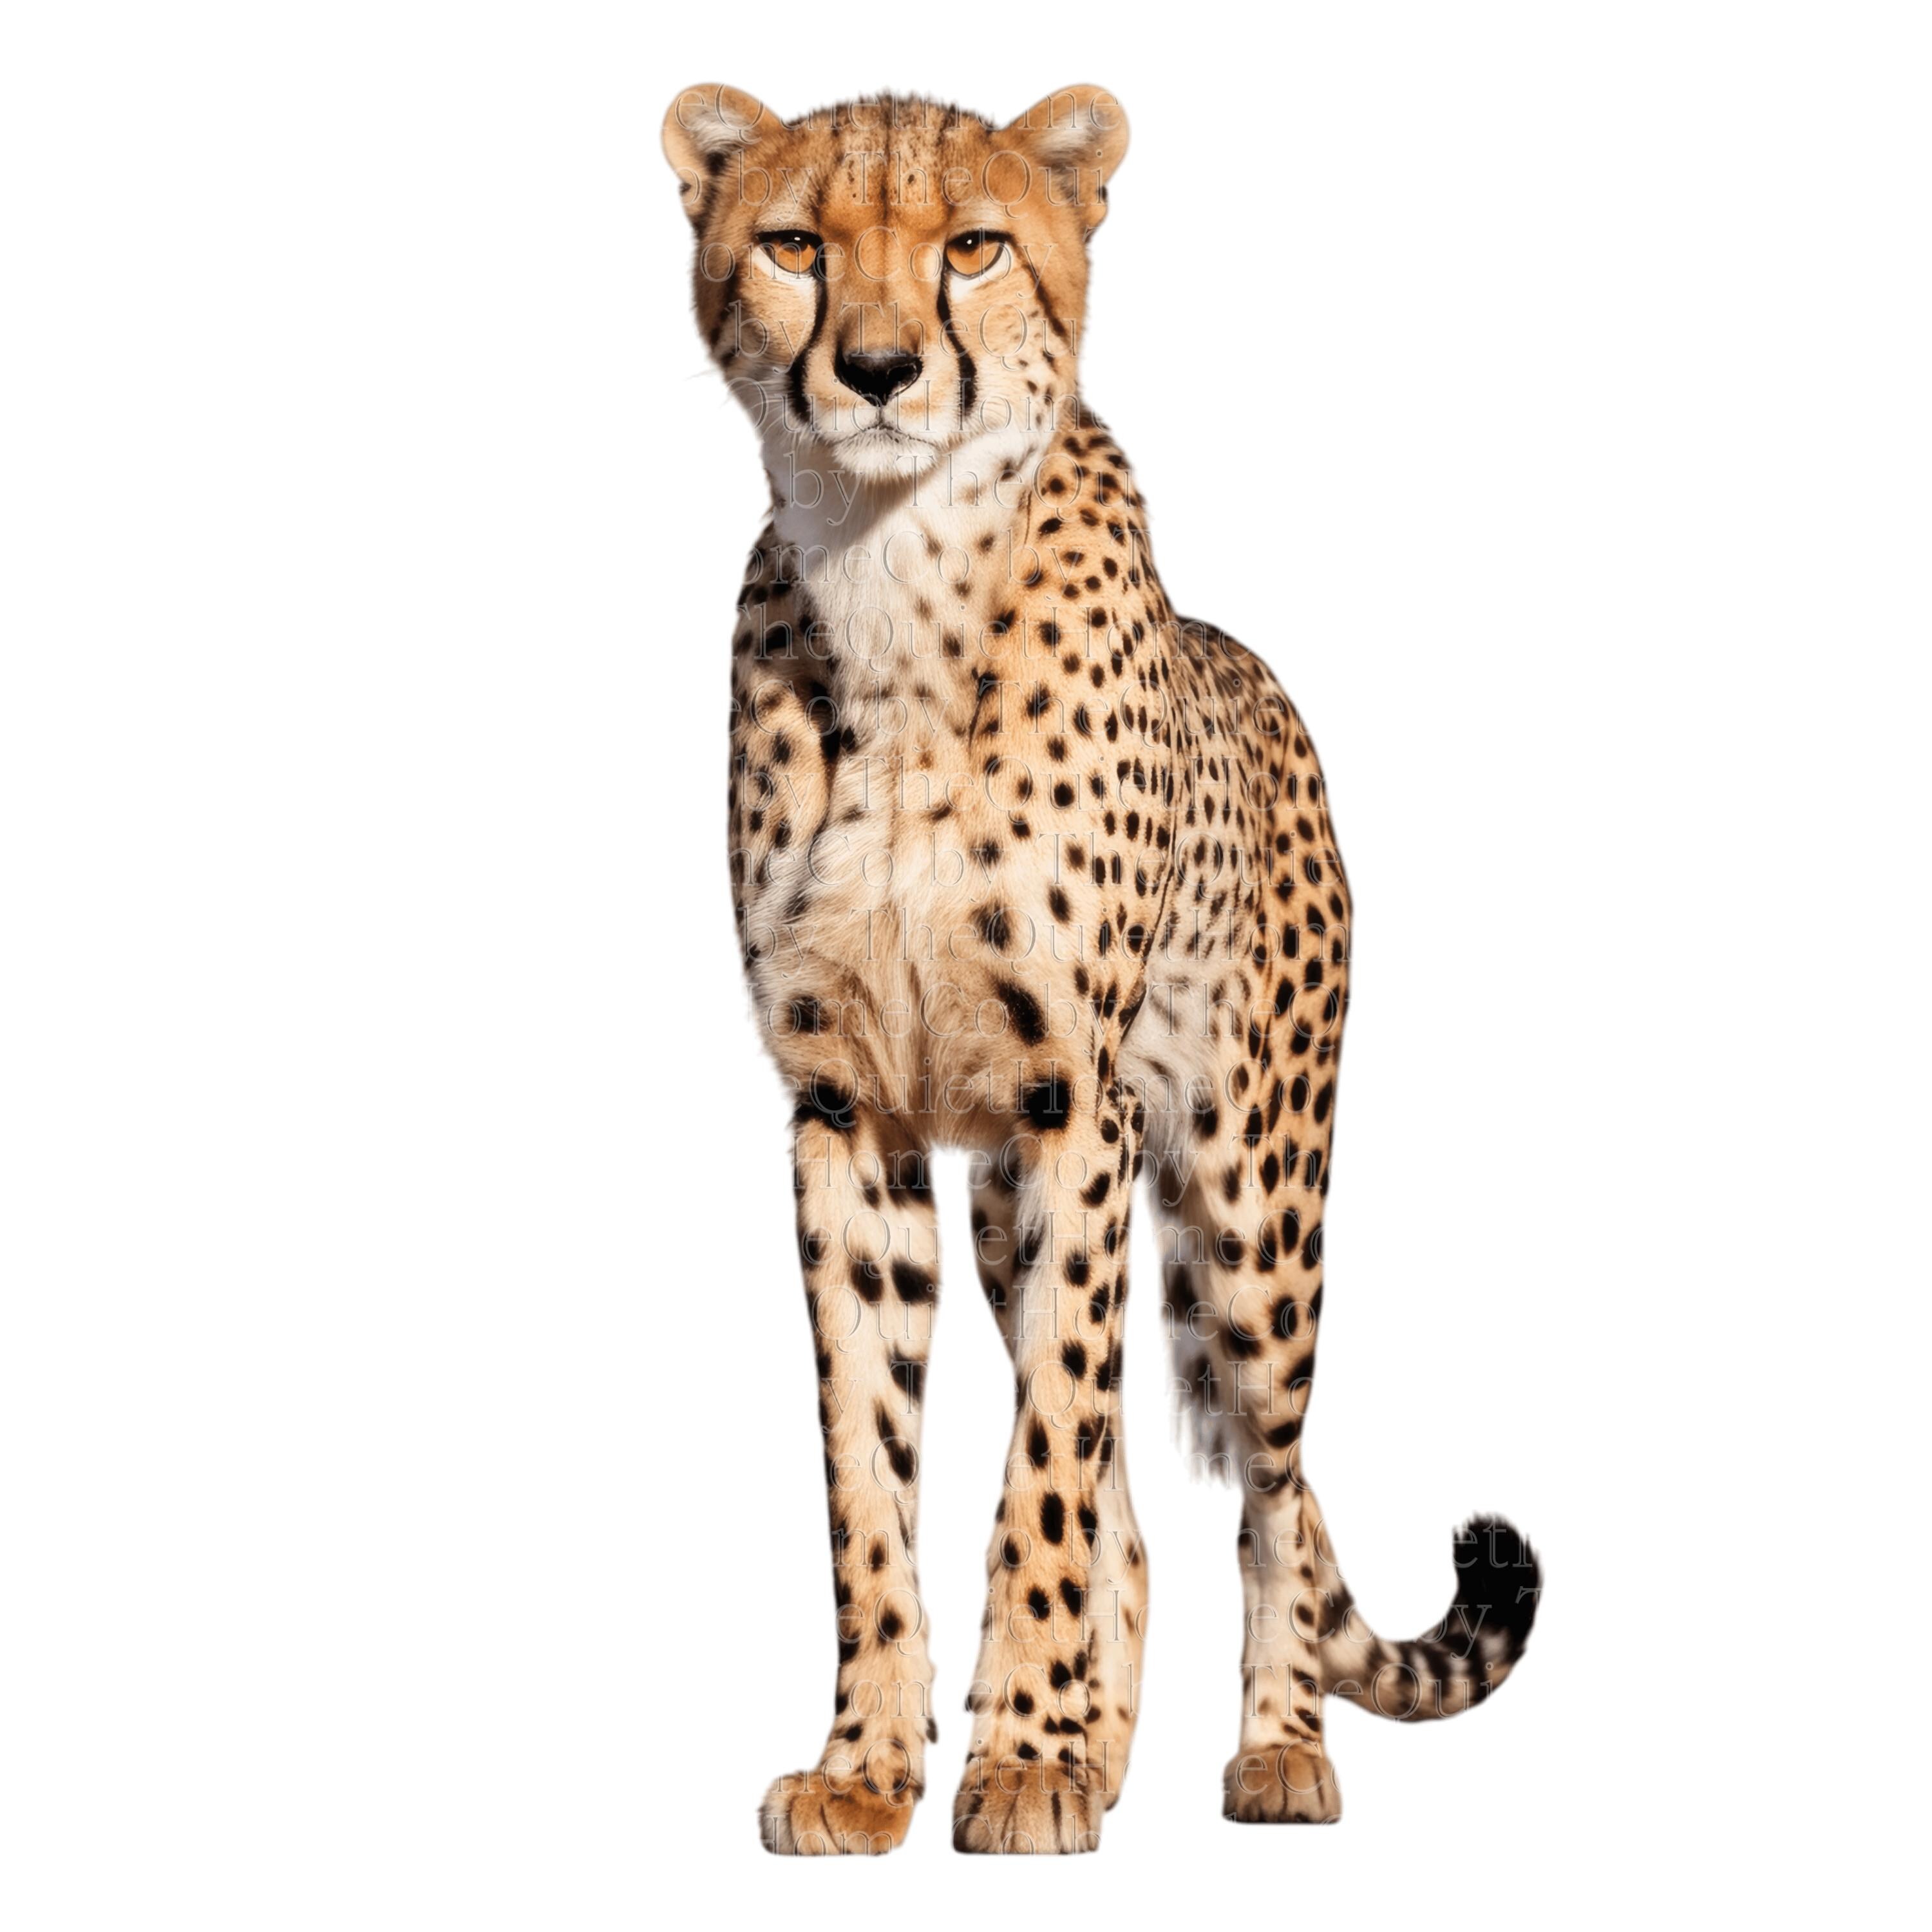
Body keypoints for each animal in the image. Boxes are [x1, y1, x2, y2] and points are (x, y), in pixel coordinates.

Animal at [661, 81, 1541, 1855]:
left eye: (973, 248)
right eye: (790, 245)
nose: (876, 371)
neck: (889, 577)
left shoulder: (1081, 1102)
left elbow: (1050, 1463)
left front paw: (1020, 1763)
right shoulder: (846, 1111)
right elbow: (873, 1470)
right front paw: (872, 1767)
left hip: (1256, 1204)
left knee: (1272, 1486)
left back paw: (1270, 1748)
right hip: (1007, 1208)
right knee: (1138, 1511)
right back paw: (1101, 1741)